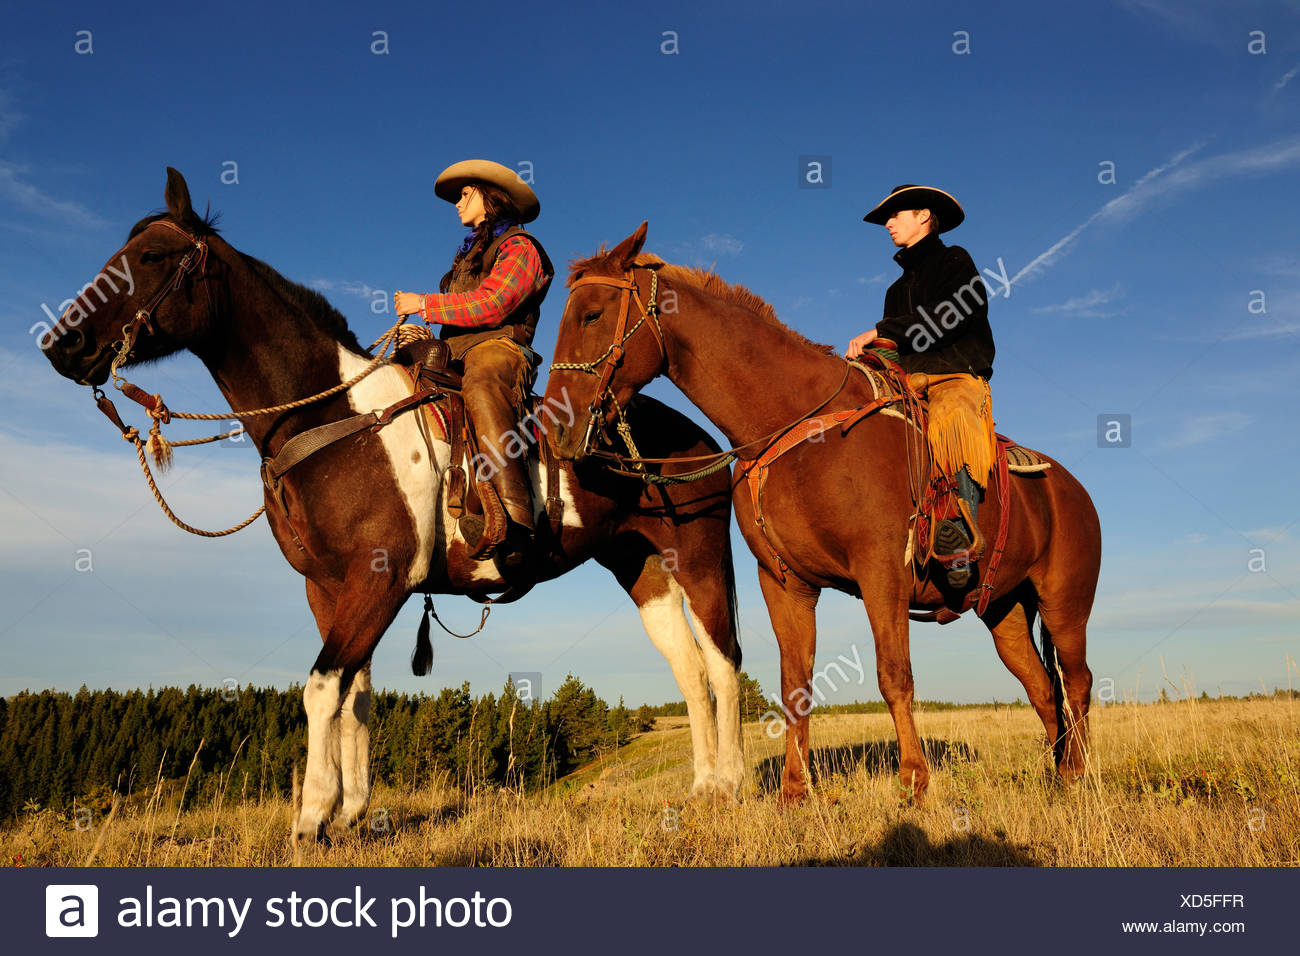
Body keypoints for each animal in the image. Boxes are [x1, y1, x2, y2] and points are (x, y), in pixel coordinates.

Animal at [42, 172, 745, 841]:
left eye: (152, 256)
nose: (60, 345)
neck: (332, 418)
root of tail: (704, 438)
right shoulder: (328, 588)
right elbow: (356, 694)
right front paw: (351, 812)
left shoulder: (381, 579)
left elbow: (322, 688)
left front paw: (311, 818)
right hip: (640, 565)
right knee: (687, 668)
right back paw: (701, 788)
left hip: (699, 556)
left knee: (722, 662)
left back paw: (731, 785)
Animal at [545, 222, 1102, 805]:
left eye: (591, 314)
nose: (557, 427)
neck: (796, 426)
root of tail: (1075, 492)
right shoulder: (785, 583)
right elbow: (795, 683)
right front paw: (795, 790)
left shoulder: (881, 573)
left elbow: (894, 674)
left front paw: (914, 780)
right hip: (1005, 611)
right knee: (1042, 689)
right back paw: (1059, 776)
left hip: (1065, 605)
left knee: (1078, 682)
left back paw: (1081, 775)